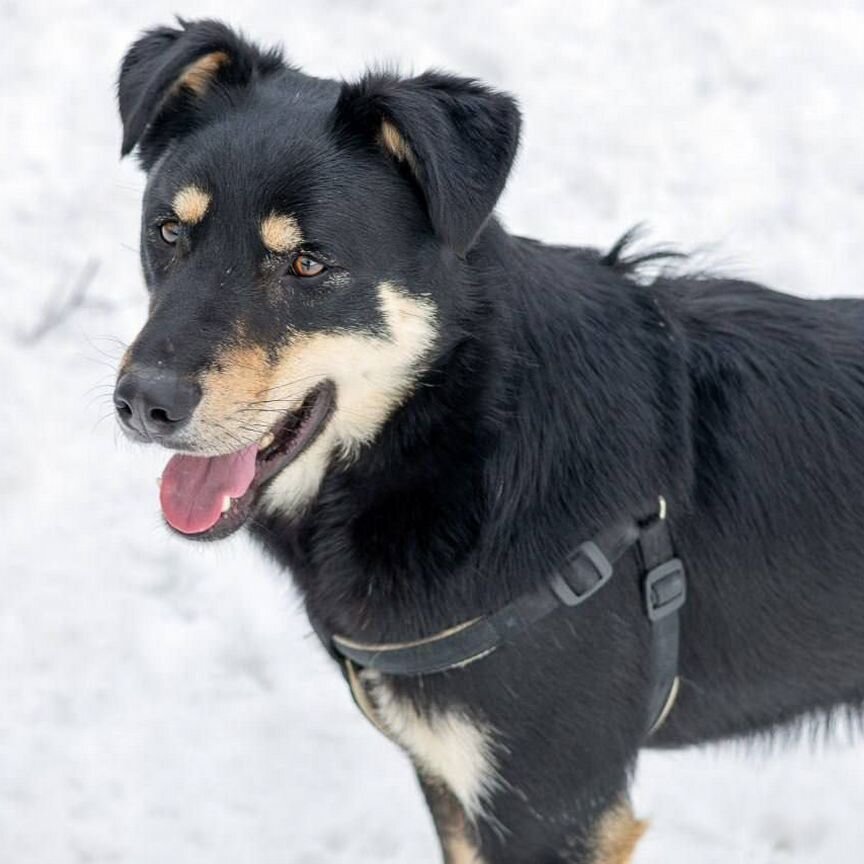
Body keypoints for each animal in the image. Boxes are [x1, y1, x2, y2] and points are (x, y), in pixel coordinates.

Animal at [113, 20, 864, 864]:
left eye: (308, 263)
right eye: (168, 231)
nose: (144, 403)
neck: (455, 433)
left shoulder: (553, 808)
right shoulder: (455, 781)